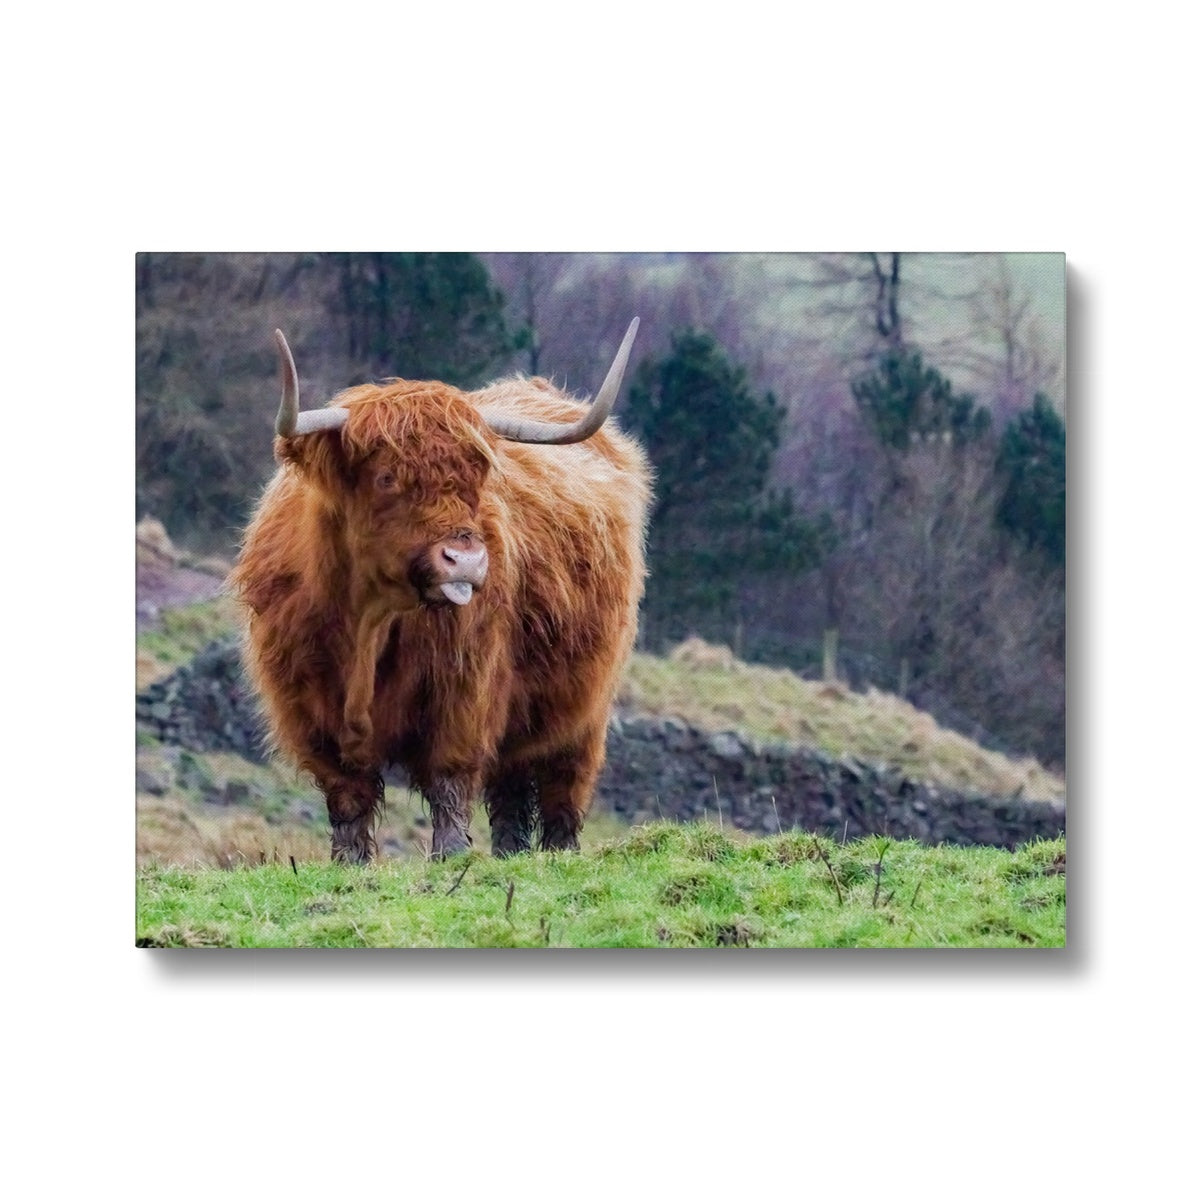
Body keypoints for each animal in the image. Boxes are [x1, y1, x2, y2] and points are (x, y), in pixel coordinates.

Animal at [229, 320, 651, 862]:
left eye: (477, 476)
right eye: (387, 477)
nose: (466, 560)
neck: (369, 618)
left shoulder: (464, 689)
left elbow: (450, 780)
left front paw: (450, 856)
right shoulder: (309, 707)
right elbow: (347, 798)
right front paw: (351, 862)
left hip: (584, 710)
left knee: (562, 788)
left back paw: (558, 853)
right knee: (511, 791)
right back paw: (509, 854)